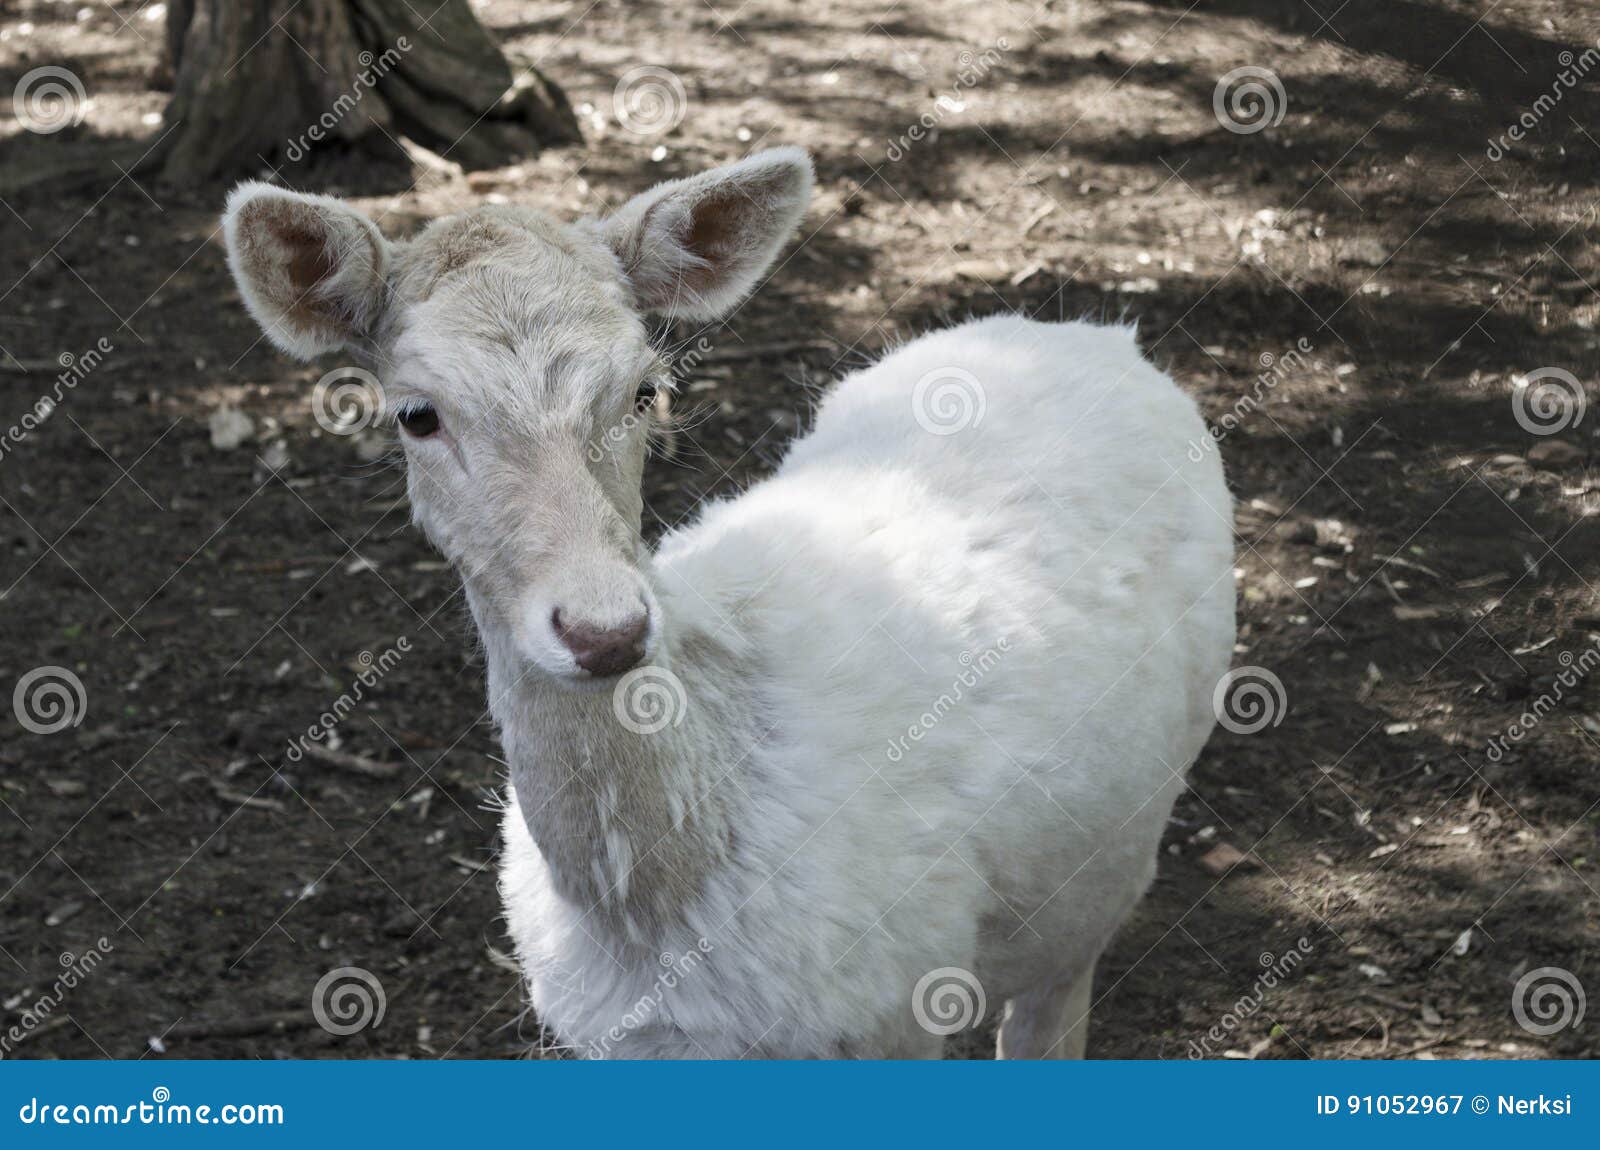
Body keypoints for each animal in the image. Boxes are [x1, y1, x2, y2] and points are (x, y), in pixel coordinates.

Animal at [222, 148, 1235, 1058]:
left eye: (646, 388)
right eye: (417, 413)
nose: (604, 629)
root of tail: (1097, 334)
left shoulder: (898, 1011)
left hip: (1105, 873)